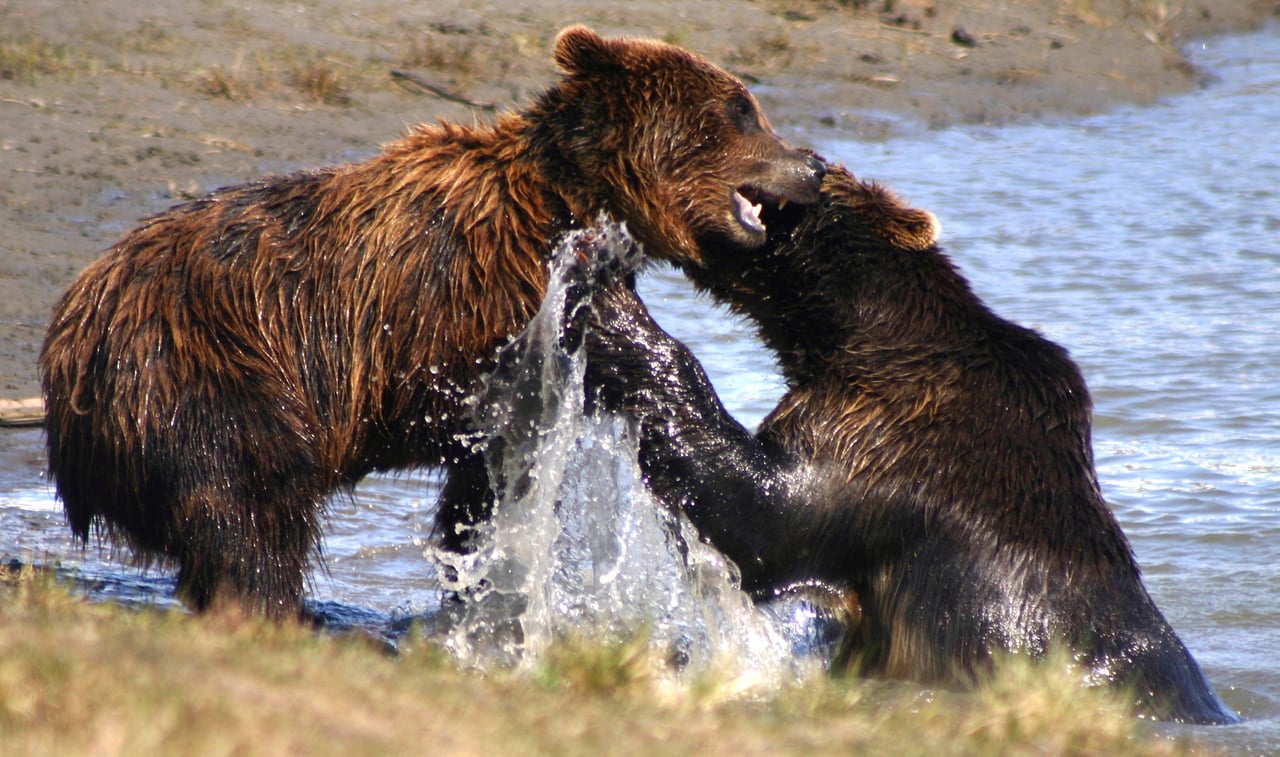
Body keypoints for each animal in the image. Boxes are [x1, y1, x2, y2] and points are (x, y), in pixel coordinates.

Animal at [38, 25, 825, 619]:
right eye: (741, 109)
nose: (813, 163)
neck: (574, 206)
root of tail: (67, 341)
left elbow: (485, 488)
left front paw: (472, 580)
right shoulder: (498, 298)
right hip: (210, 369)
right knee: (251, 510)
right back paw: (276, 610)